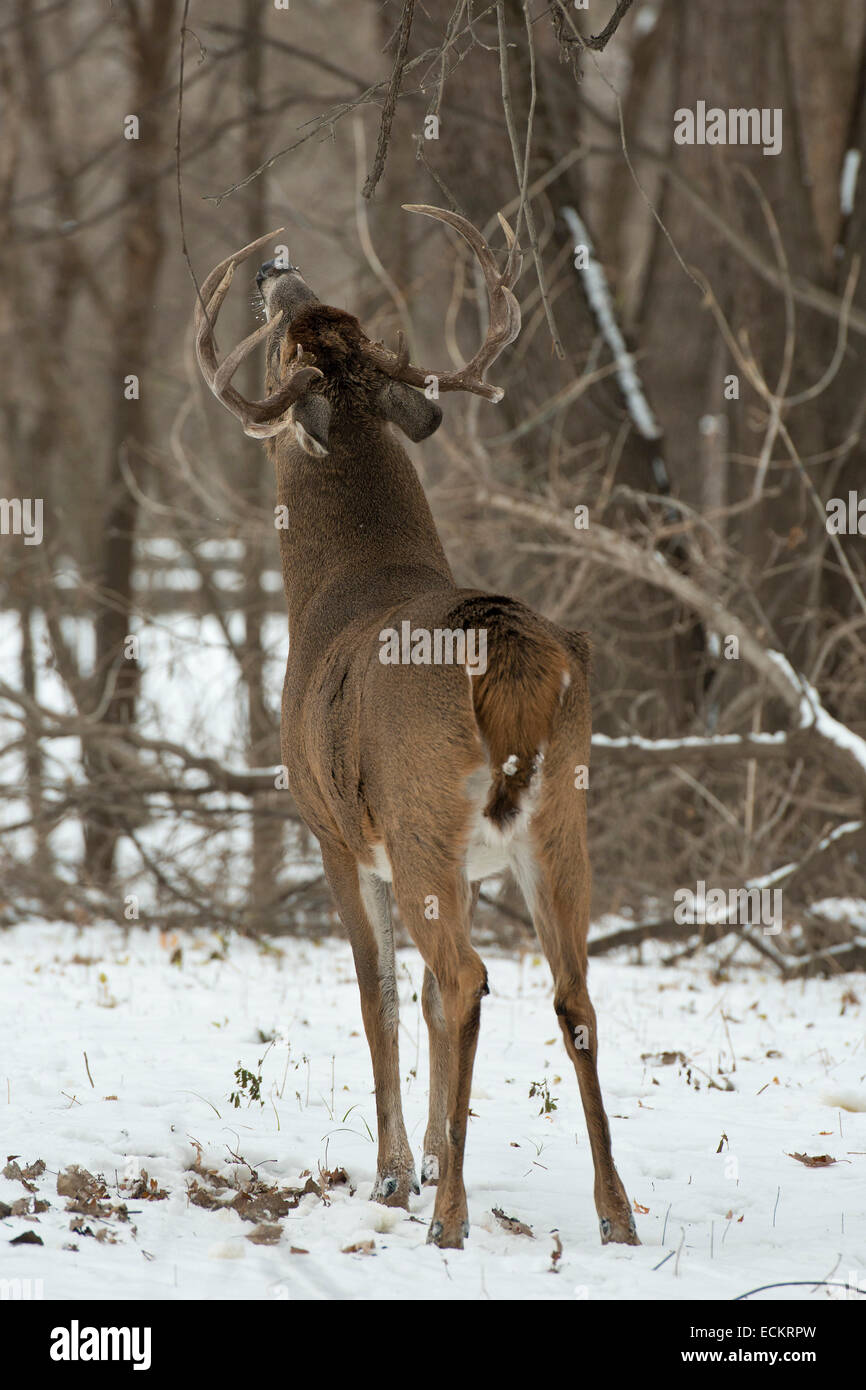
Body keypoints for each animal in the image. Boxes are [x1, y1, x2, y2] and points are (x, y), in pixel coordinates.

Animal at [193, 207, 639, 1251]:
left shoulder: (334, 833)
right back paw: (617, 1216)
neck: (343, 586)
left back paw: (448, 1218)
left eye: (282, 342)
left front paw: (399, 1172)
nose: (276, 268)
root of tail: (506, 645)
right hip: (559, 820)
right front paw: (437, 1150)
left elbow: (382, 995)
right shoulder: (467, 860)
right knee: (571, 992)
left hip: (424, 816)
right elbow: (428, 1003)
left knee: (468, 978)